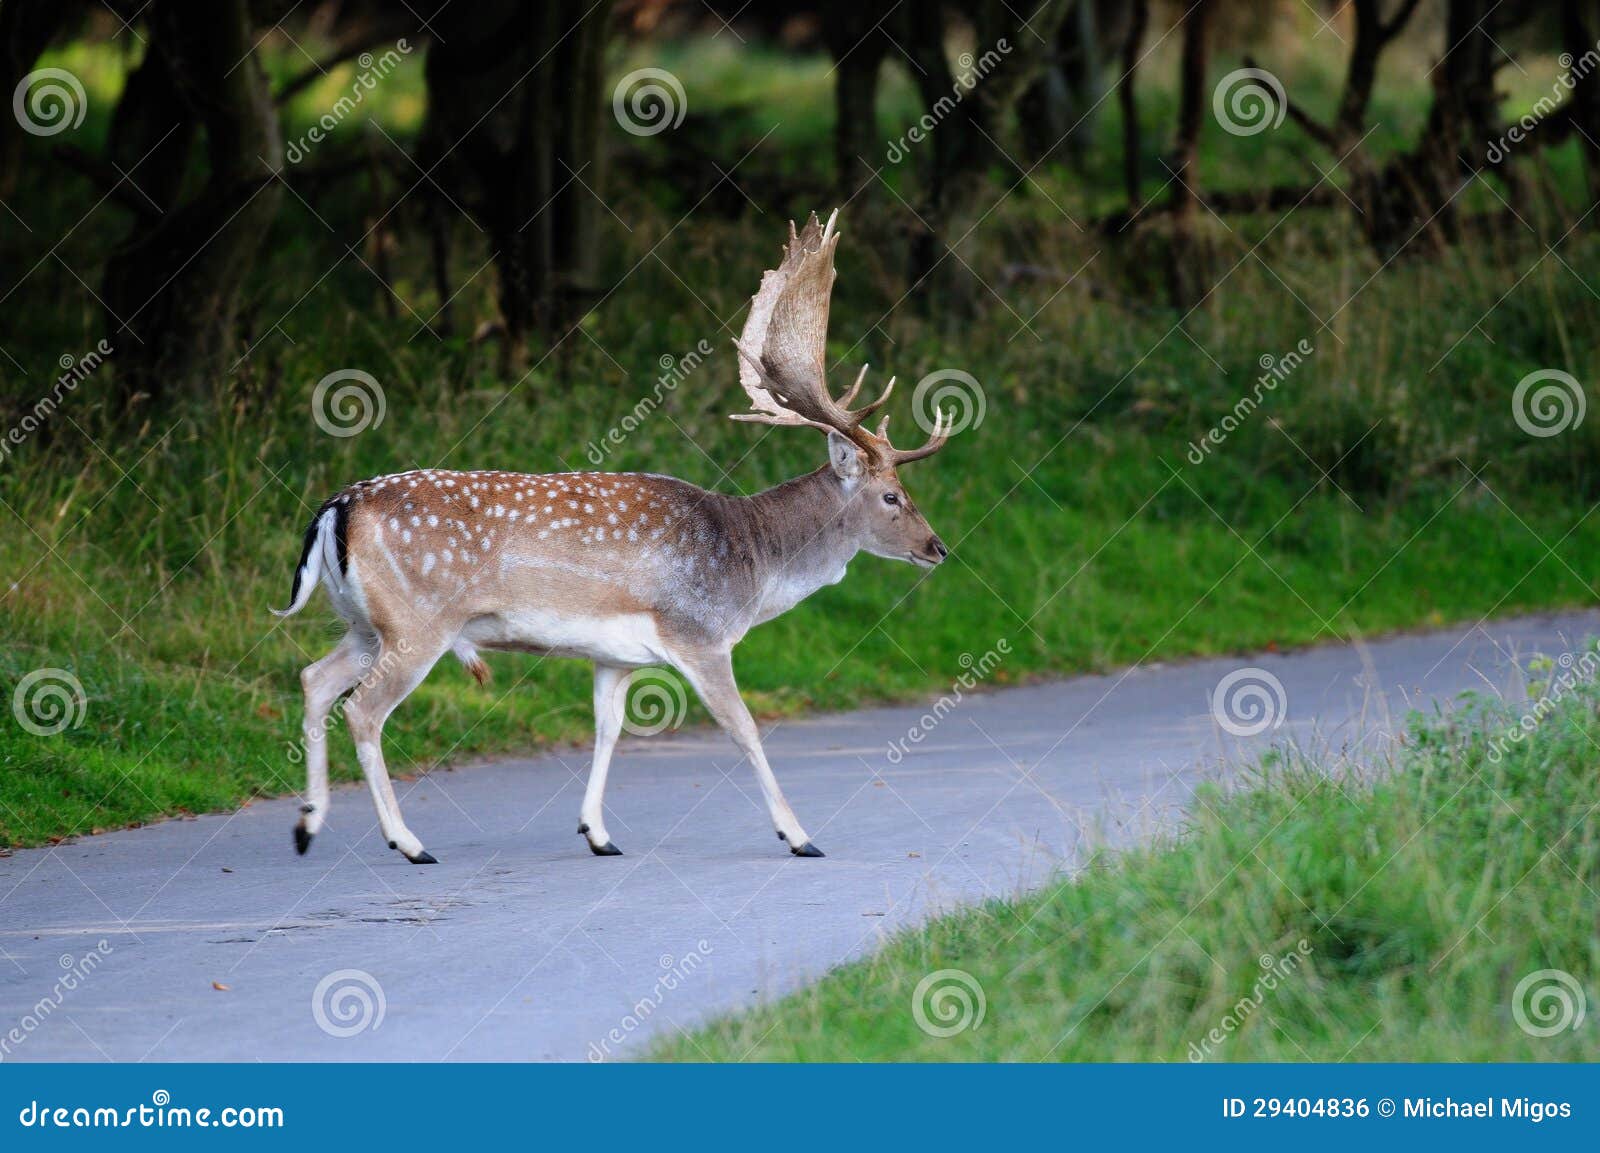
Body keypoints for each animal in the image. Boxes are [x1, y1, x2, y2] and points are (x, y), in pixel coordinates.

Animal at [274, 209, 951, 864]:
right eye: (892, 496)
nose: (938, 548)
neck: (752, 562)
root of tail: (336, 508)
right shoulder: (700, 635)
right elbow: (745, 728)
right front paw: (799, 834)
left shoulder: (616, 657)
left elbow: (608, 728)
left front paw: (596, 833)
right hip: (419, 622)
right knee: (362, 709)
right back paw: (408, 843)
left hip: (367, 623)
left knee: (314, 679)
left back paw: (308, 826)